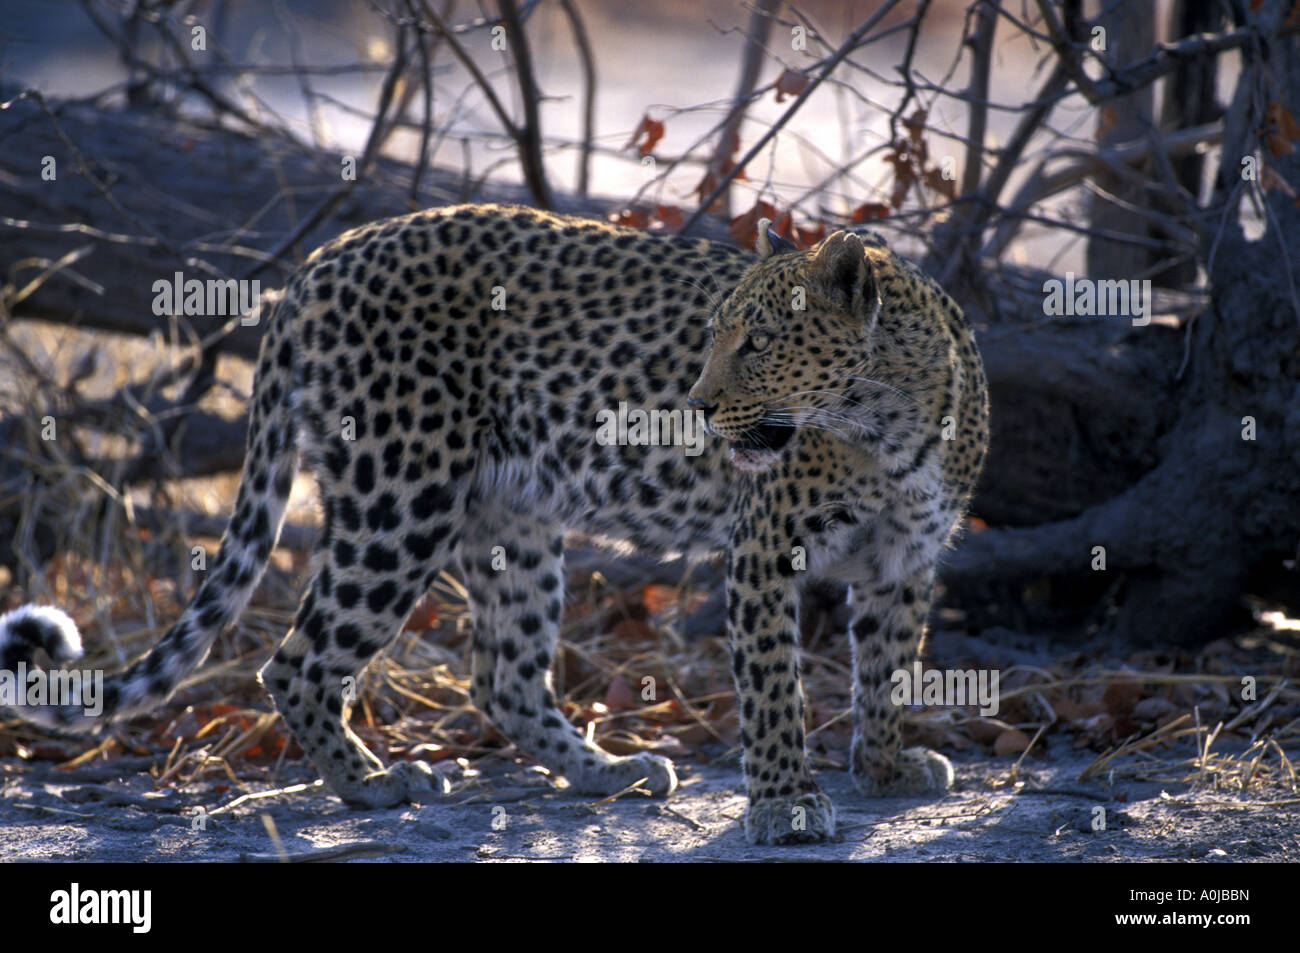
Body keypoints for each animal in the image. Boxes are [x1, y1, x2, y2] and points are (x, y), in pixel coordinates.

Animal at [0, 202, 988, 845]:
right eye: (714, 335)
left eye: (760, 342)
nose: (698, 408)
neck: (888, 423)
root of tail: (318, 261)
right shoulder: (762, 550)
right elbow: (777, 689)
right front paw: (787, 804)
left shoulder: (906, 560)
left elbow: (888, 669)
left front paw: (888, 768)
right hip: (399, 497)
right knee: (299, 658)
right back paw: (374, 783)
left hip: (512, 514)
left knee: (502, 675)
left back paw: (606, 769)